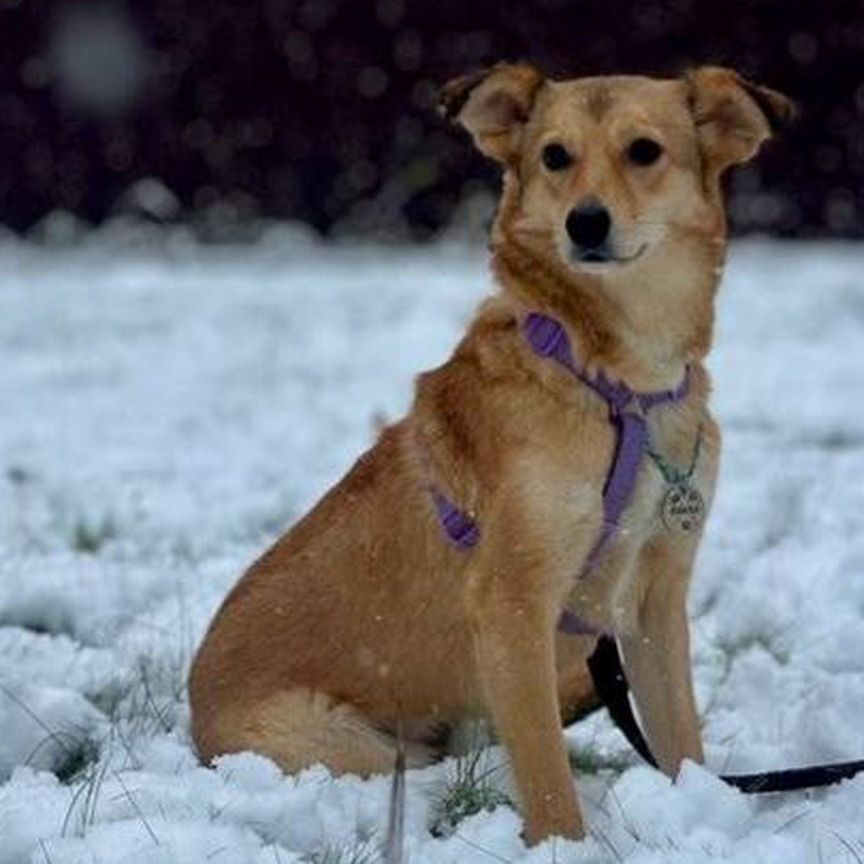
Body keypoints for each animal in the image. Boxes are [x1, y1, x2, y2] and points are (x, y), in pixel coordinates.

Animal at [189, 62, 788, 844]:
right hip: (349, 748)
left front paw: (700, 810)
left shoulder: (657, 597)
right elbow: (545, 774)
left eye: (644, 151)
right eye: (555, 157)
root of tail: (192, 713)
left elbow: (682, 741)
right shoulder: (512, 605)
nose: (585, 222)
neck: (617, 383)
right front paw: (564, 849)